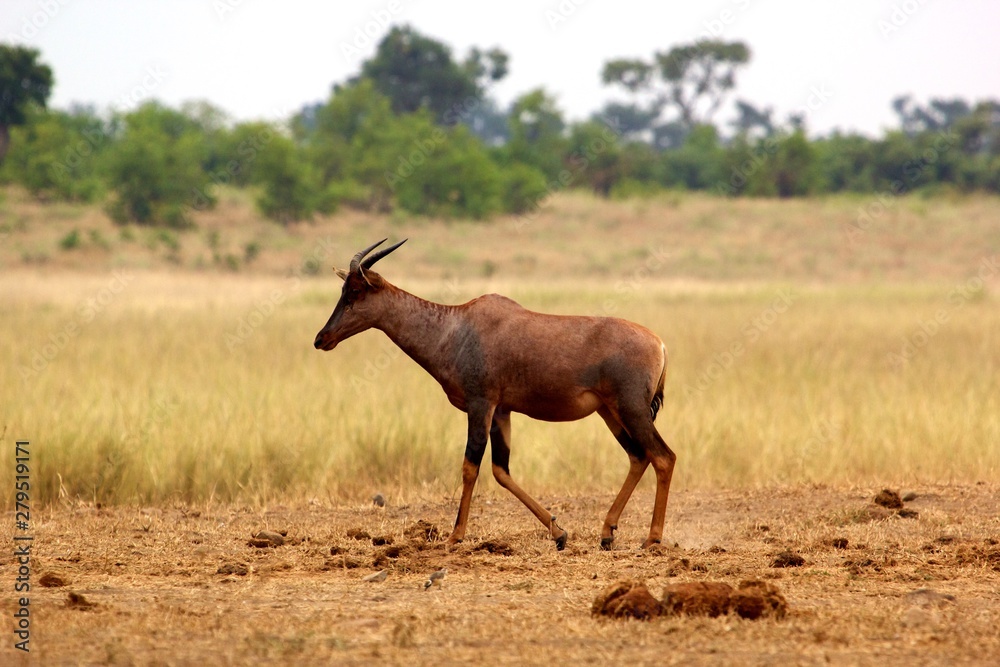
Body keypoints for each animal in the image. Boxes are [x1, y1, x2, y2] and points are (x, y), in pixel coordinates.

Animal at [314, 239, 676, 551]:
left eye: (356, 291)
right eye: (343, 289)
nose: (322, 338)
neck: (457, 327)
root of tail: (659, 343)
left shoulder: (481, 405)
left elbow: (470, 467)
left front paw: (455, 537)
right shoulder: (502, 411)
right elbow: (502, 471)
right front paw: (559, 533)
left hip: (631, 409)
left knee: (663, 457)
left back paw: (651, 539)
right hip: (610, 412)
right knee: (638, 456)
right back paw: (606, 533)